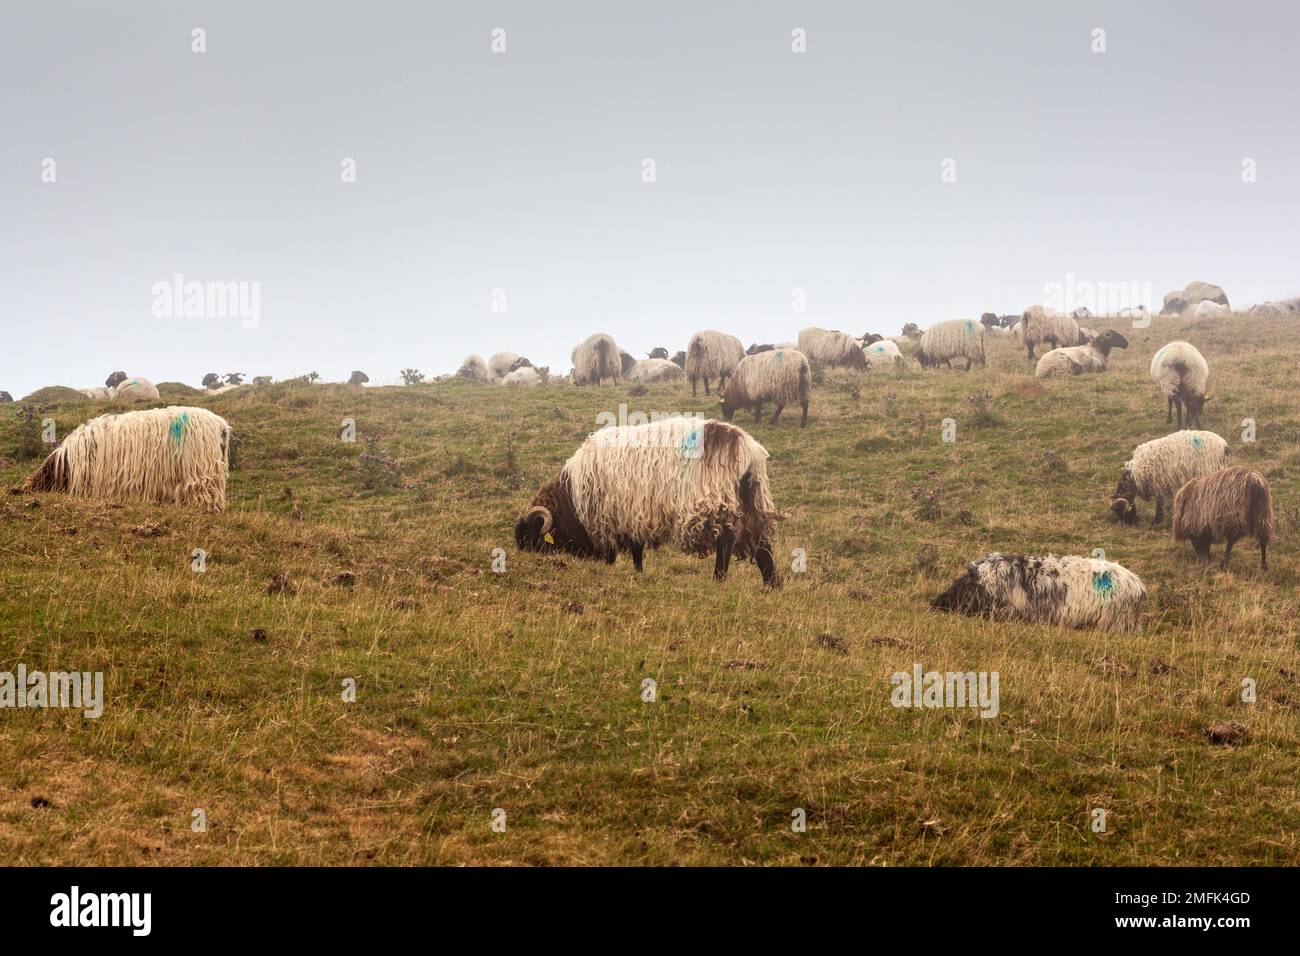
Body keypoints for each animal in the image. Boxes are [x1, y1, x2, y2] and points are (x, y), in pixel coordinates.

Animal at [515, 416, 783, 586]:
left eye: (530, 538)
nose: (522, 557)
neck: (572, 498)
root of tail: (748, 449)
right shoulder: (632, 515)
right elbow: (636, 549)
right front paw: (639, 572)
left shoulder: (613, 516)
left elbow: (618, 552)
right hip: (752, 502)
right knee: (762, 545)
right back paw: (772, 584)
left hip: (715, 503)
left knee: (725, 543)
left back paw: (719, 580)